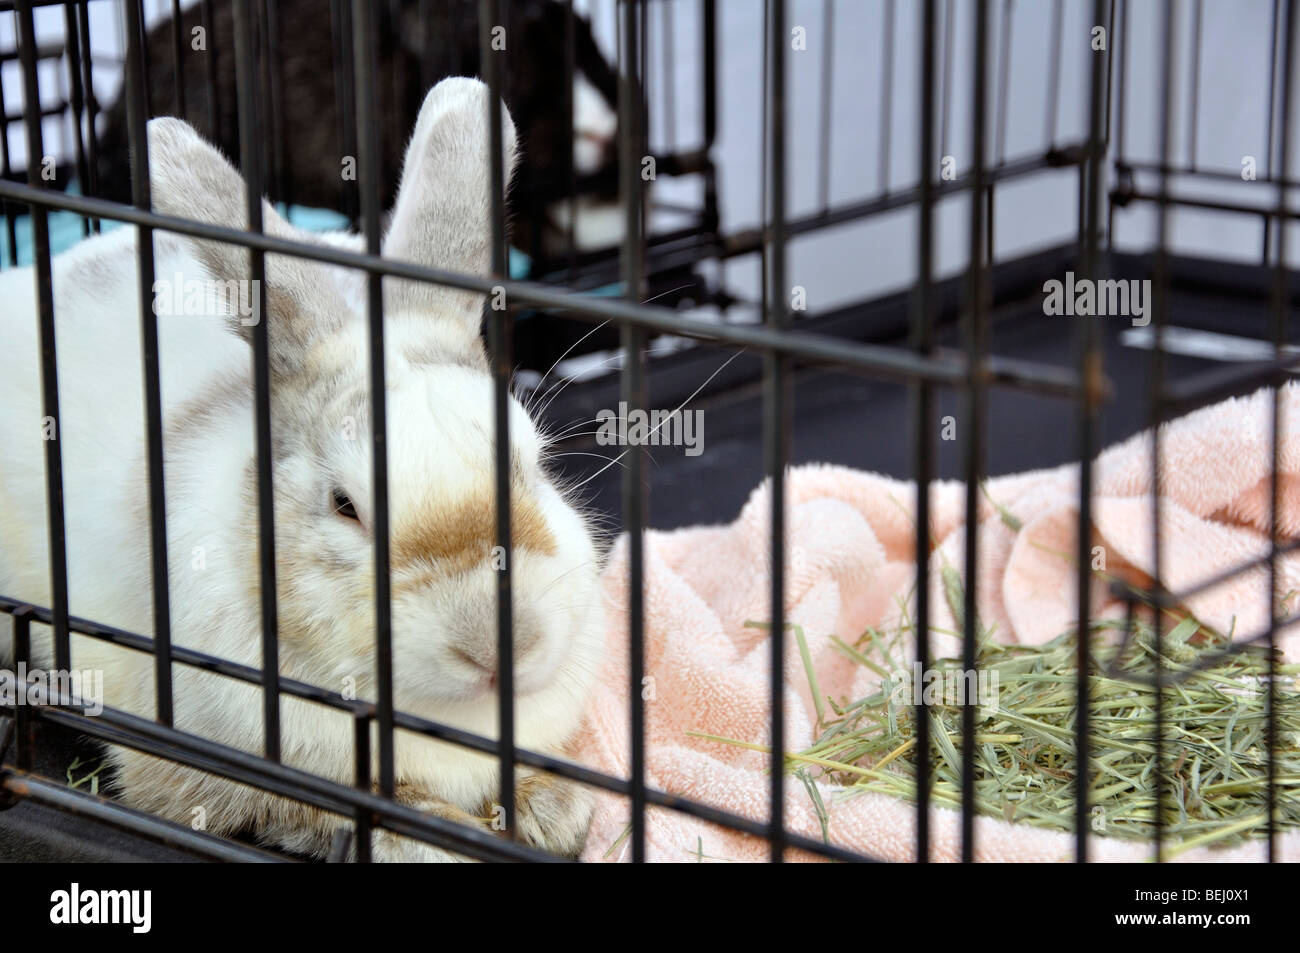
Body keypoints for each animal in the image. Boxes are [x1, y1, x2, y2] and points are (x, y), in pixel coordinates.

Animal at [0, 77, 605, 861]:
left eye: (534, 465)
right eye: (345, 505)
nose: (502, 645)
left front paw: (555, 810)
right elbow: (325, 810)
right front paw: (435, 837)